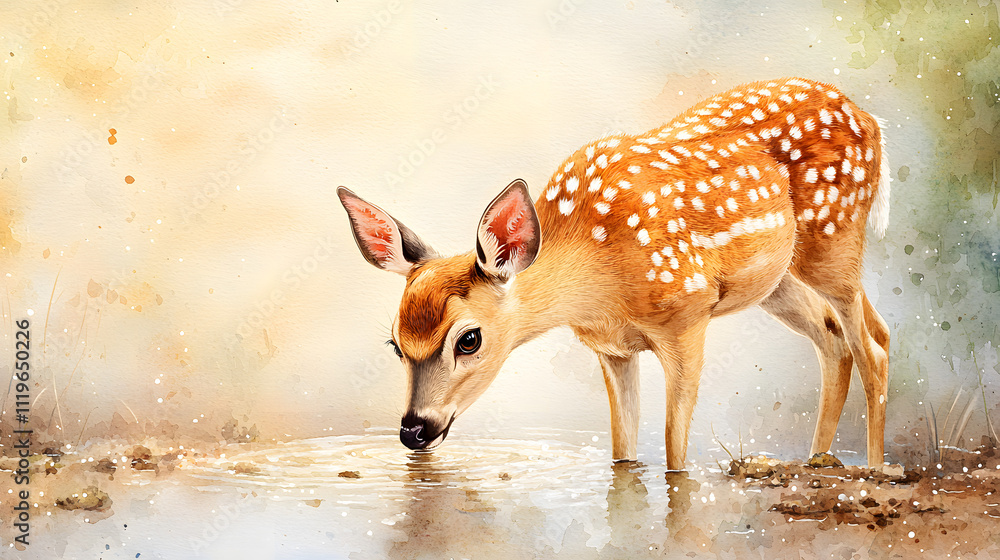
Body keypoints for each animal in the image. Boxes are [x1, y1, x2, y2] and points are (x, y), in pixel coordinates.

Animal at [338, 77, 892, 471]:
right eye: (395, 344)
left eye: (469, 339)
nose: (414, 430)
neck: (596, 279)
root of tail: (872, 121)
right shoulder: (613, 349)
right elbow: (623, 449)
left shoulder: (688, 315)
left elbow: (673, 448)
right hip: (778, 281)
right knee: (835, 338)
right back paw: (818, 461)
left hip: (835, 242)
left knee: (874, 343)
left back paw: (875, 469)